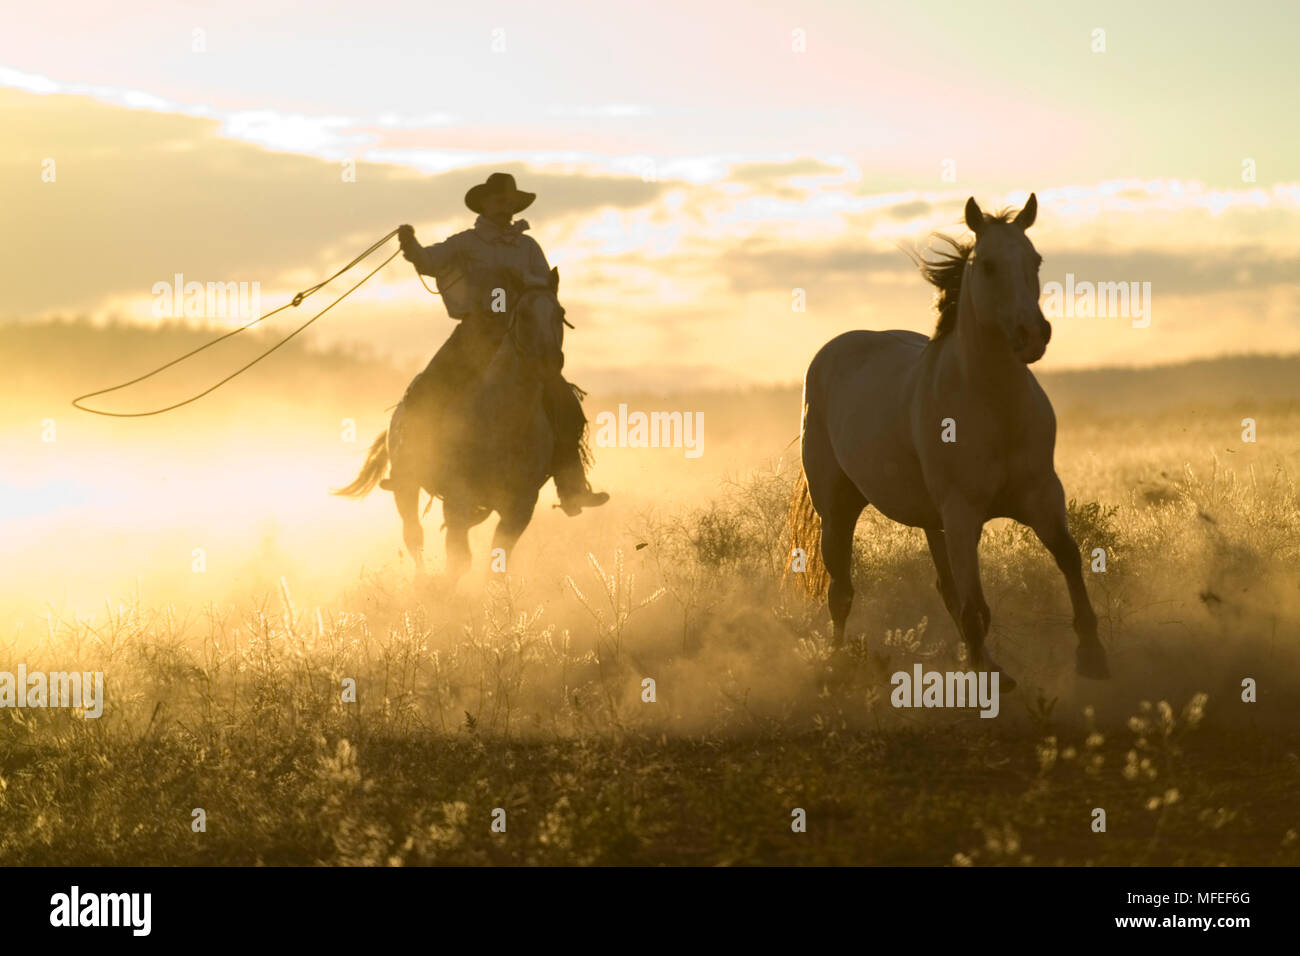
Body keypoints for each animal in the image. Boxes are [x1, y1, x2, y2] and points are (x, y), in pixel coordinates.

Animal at [334, 267, 567, 581]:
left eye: (560, 313)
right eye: (524, 315)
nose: (549, 361)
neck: (502, 420)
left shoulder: (520, 506)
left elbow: (497, 561)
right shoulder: (457, 497)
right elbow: (458, 559)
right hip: (407, 487)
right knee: (414, 537)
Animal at [788, 195, 1110, 691]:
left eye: (1034, 261)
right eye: (989, 265)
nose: (1032, 335)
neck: (994, 407)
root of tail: (835, 349)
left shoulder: (1042, 496)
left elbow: (1070, 559)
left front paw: (1092, 655)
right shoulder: (962, 514)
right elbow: (976, 603)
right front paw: (986, 680)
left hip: (931, 522)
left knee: (944, 589)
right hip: (839, 508)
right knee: (841, 591)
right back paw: (838, 666)